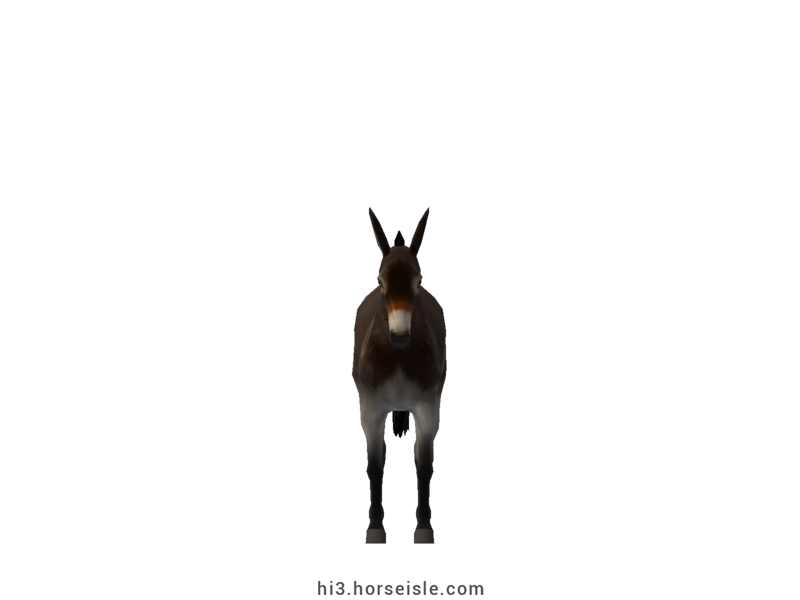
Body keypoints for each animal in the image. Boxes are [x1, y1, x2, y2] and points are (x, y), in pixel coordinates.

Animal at [353, 208, 446, 535]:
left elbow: (424, 466)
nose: (400, 338)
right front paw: (375, 528)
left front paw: (424, 529)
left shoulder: (428, 406)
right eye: (380, 282)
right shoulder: (371, 409)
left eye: (418, 282)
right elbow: (374, 467)